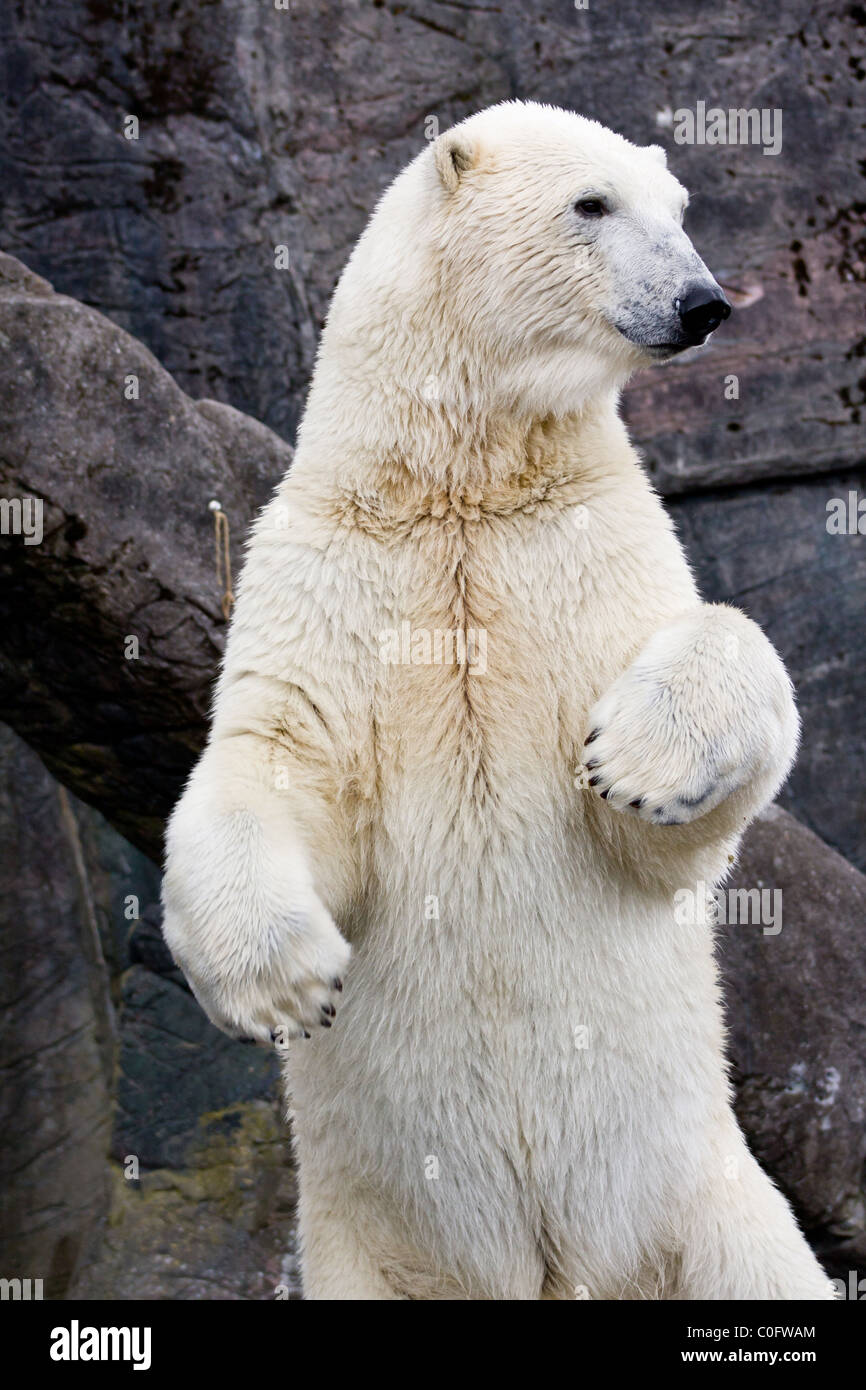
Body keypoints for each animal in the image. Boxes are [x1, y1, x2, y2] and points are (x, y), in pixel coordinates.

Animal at [163, 101, 833, 1300]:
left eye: (678, 207)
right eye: (590, 203)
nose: (702, 301)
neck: (460, 486)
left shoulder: (586, 546)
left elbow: (666, 819)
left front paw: (636, 763)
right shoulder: (334, 569)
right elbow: (278, 759)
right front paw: (287, 987)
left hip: (711, 1207)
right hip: (358, 1251)